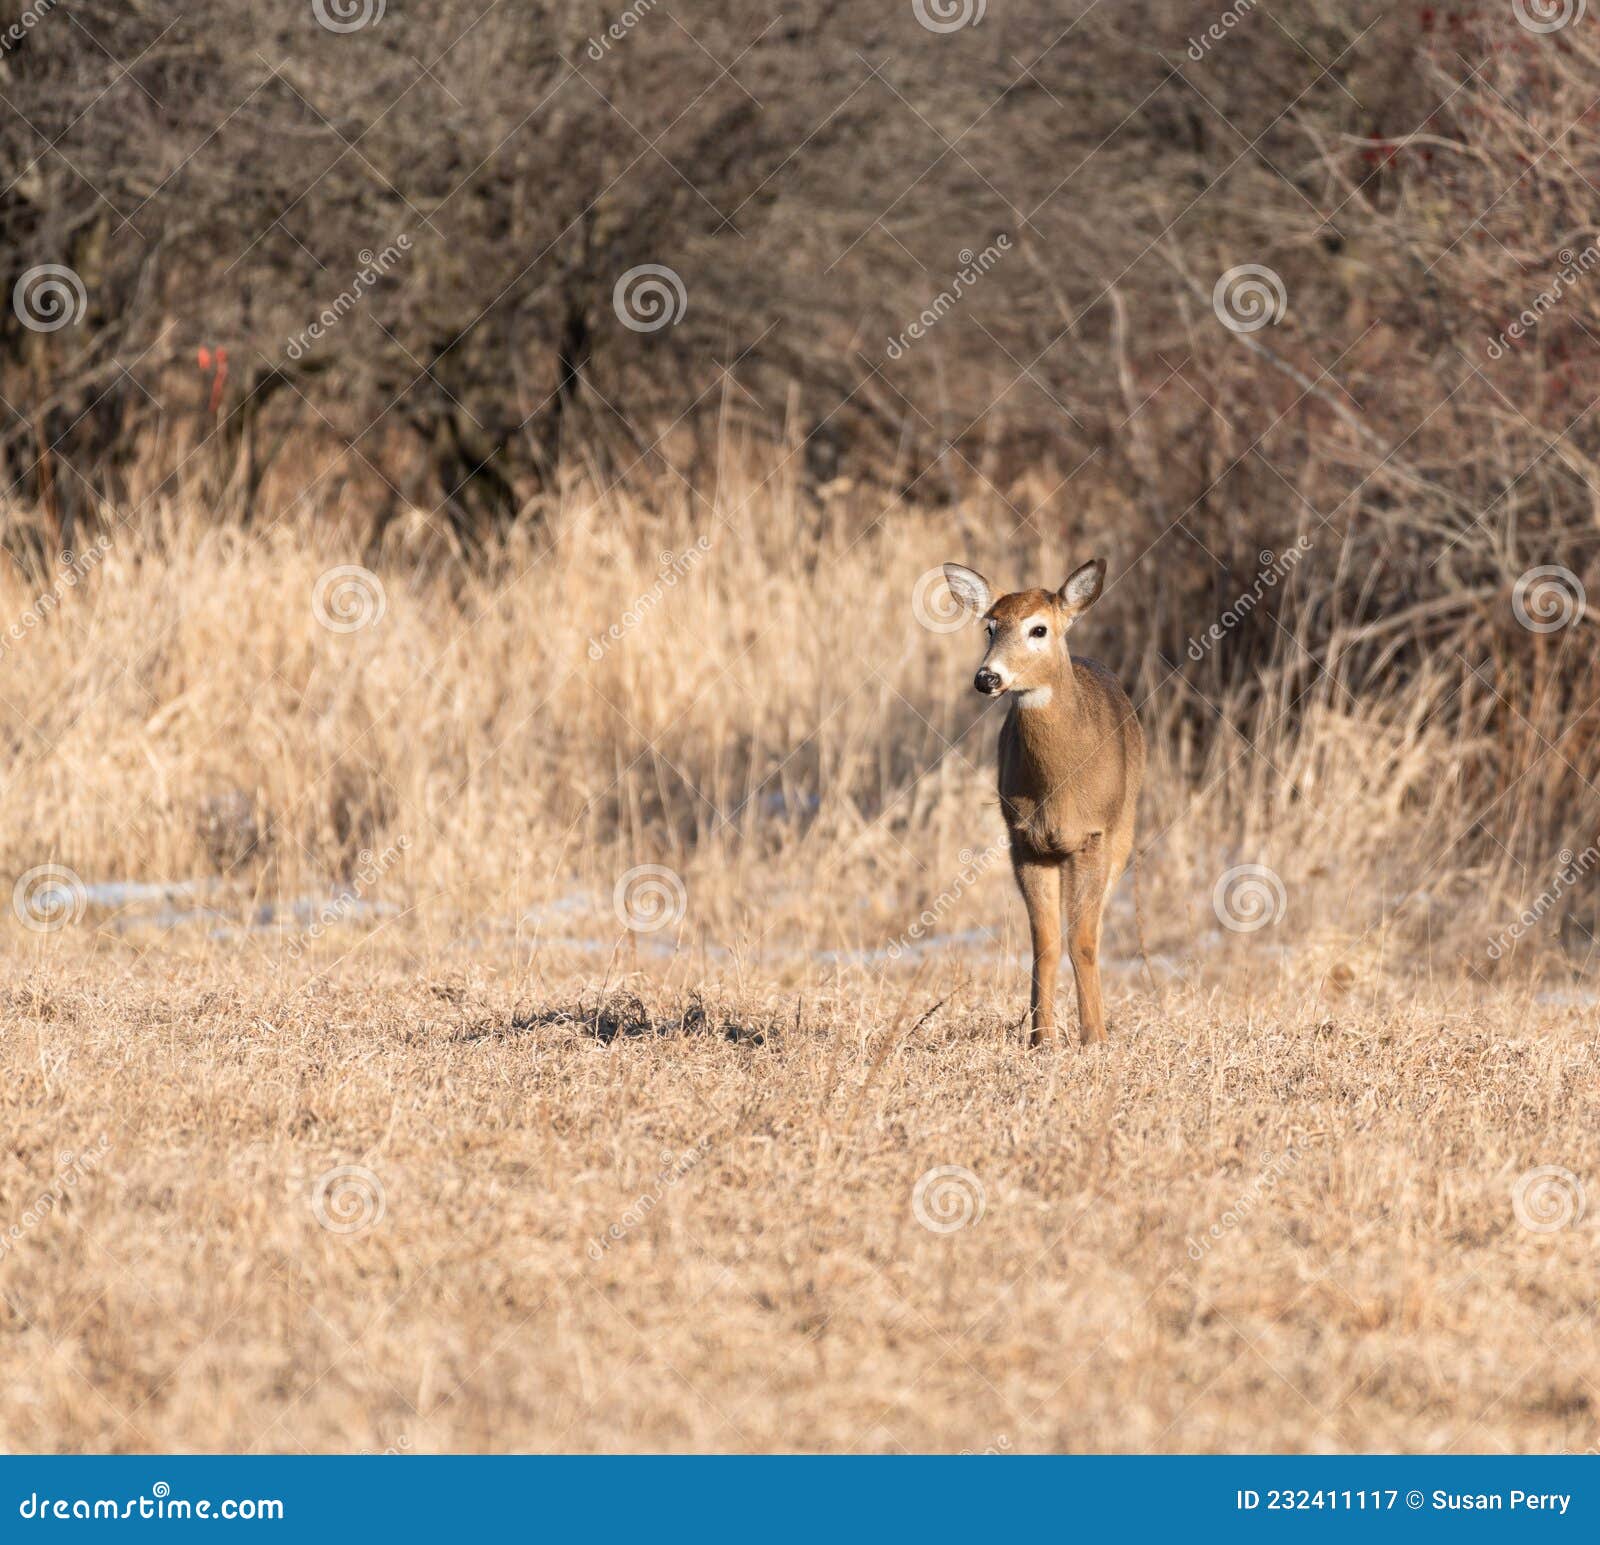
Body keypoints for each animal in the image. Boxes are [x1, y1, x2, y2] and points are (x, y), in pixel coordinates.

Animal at [942, 557, 1145, 1048]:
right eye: (990, 627)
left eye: (1038, 629)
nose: (987, 677)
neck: (1059, 788)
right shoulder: (1025, 841)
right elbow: (1046, 941)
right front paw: (1041, 1038)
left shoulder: (1093, 835)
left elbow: (1084, 941)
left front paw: (1095, 1038)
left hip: (1123, 833)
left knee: (1096, 926)